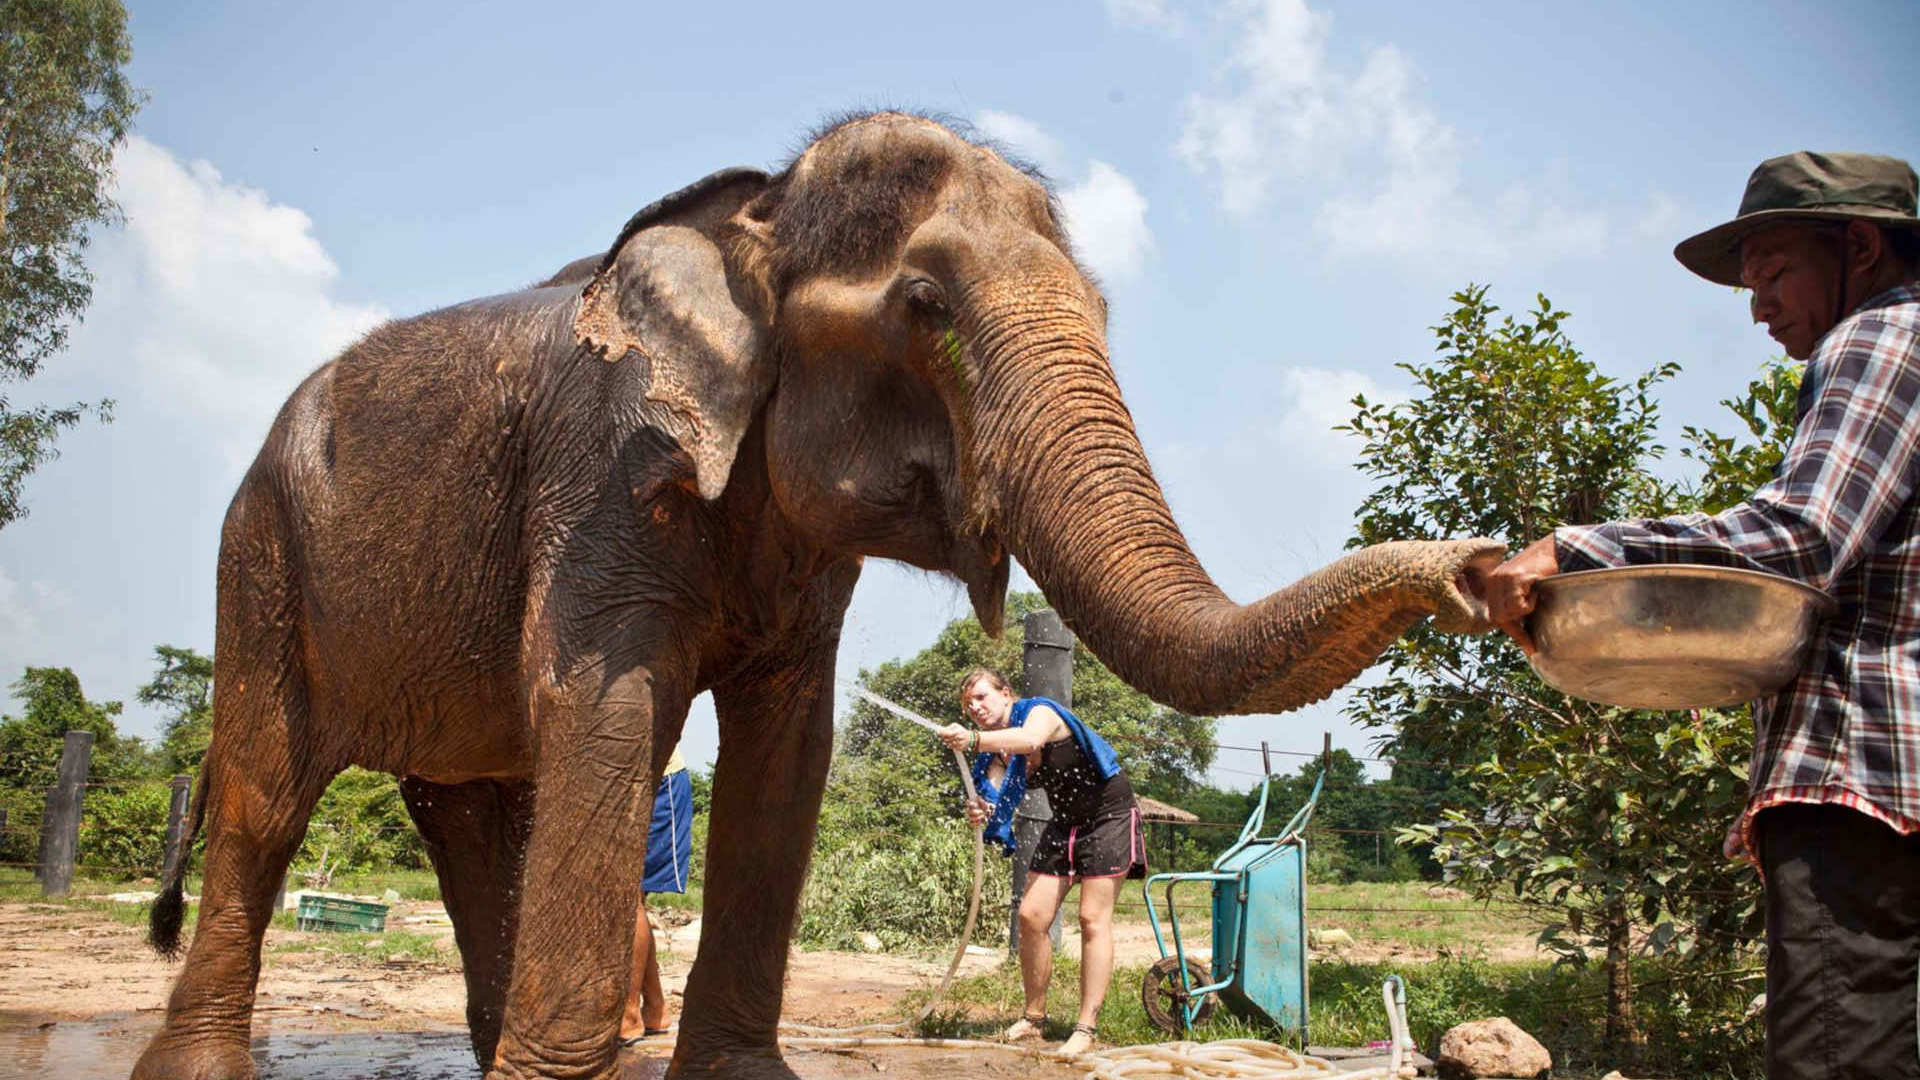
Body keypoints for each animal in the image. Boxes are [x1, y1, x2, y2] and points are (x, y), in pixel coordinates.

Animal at [132, 111, 1501, 1080]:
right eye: (926, 304)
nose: (1483, 569)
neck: (754, 210)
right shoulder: (601, 477)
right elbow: (606, 713)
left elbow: (788, 748)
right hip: (261, 557)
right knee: (264, 794)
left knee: (470, 811)